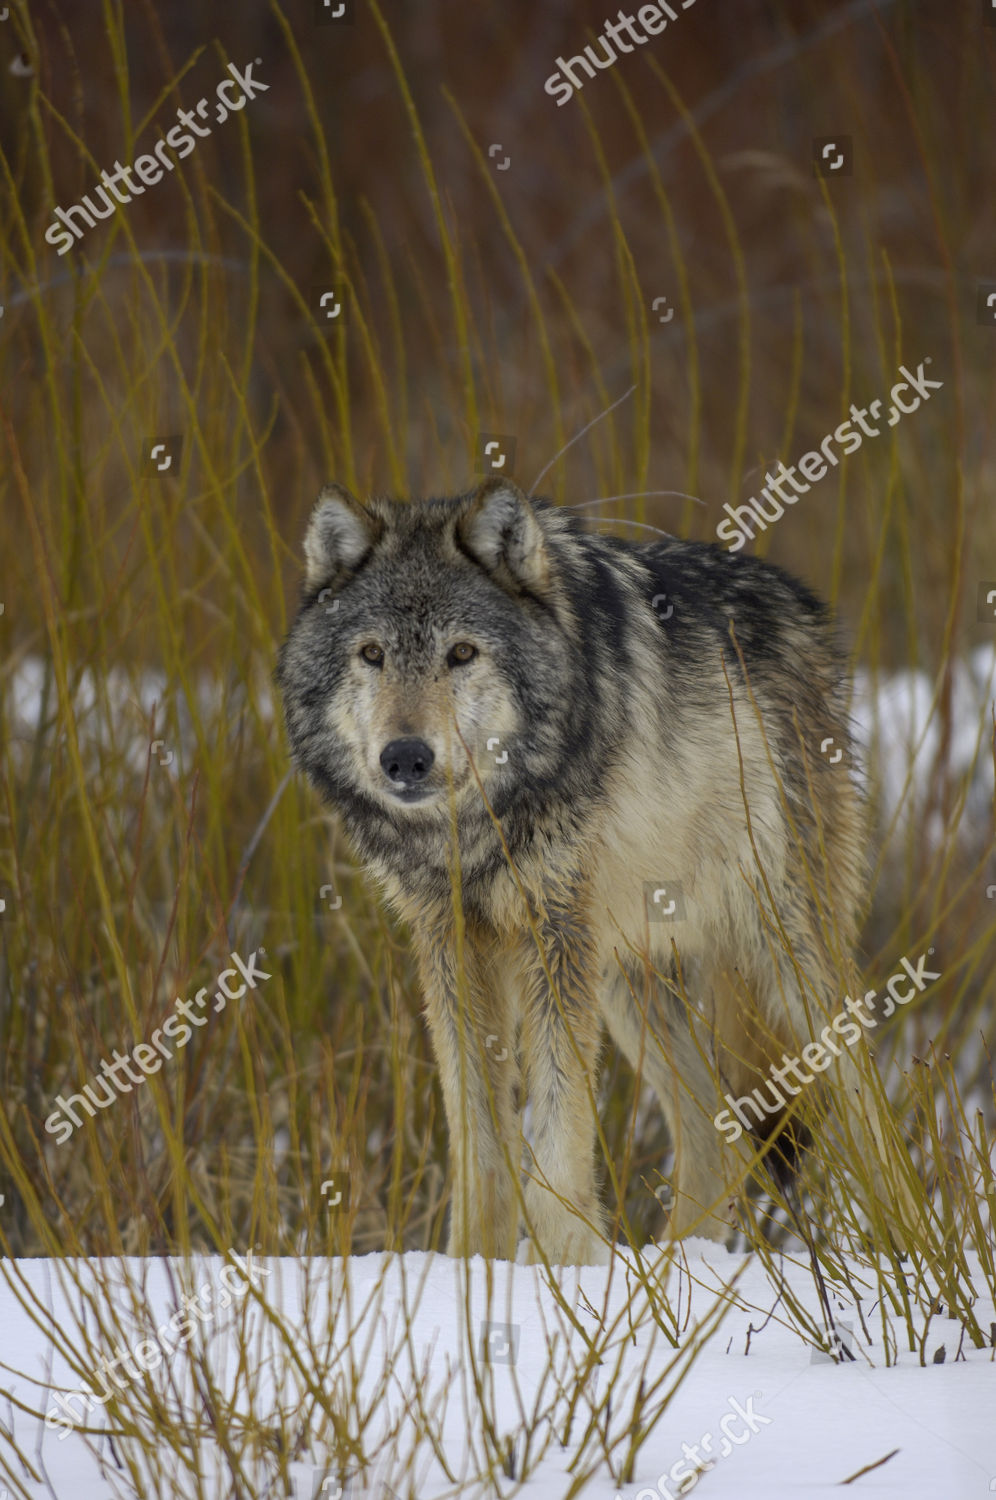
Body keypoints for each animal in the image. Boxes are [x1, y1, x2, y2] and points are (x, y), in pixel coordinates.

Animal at [277, 476, 895, 1265]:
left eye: (462, 652)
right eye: (372, 654)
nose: (405, 758)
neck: (472, 832)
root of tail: (802, 605)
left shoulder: (555, 935)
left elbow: (557, 1125)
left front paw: (567, 1265)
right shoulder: (450, 944)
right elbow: (477, 1138)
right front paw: (470, 1268)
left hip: (783, 951)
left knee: (866, 1105)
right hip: (632, 982)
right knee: (718, 1144)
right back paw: (676, 1270)